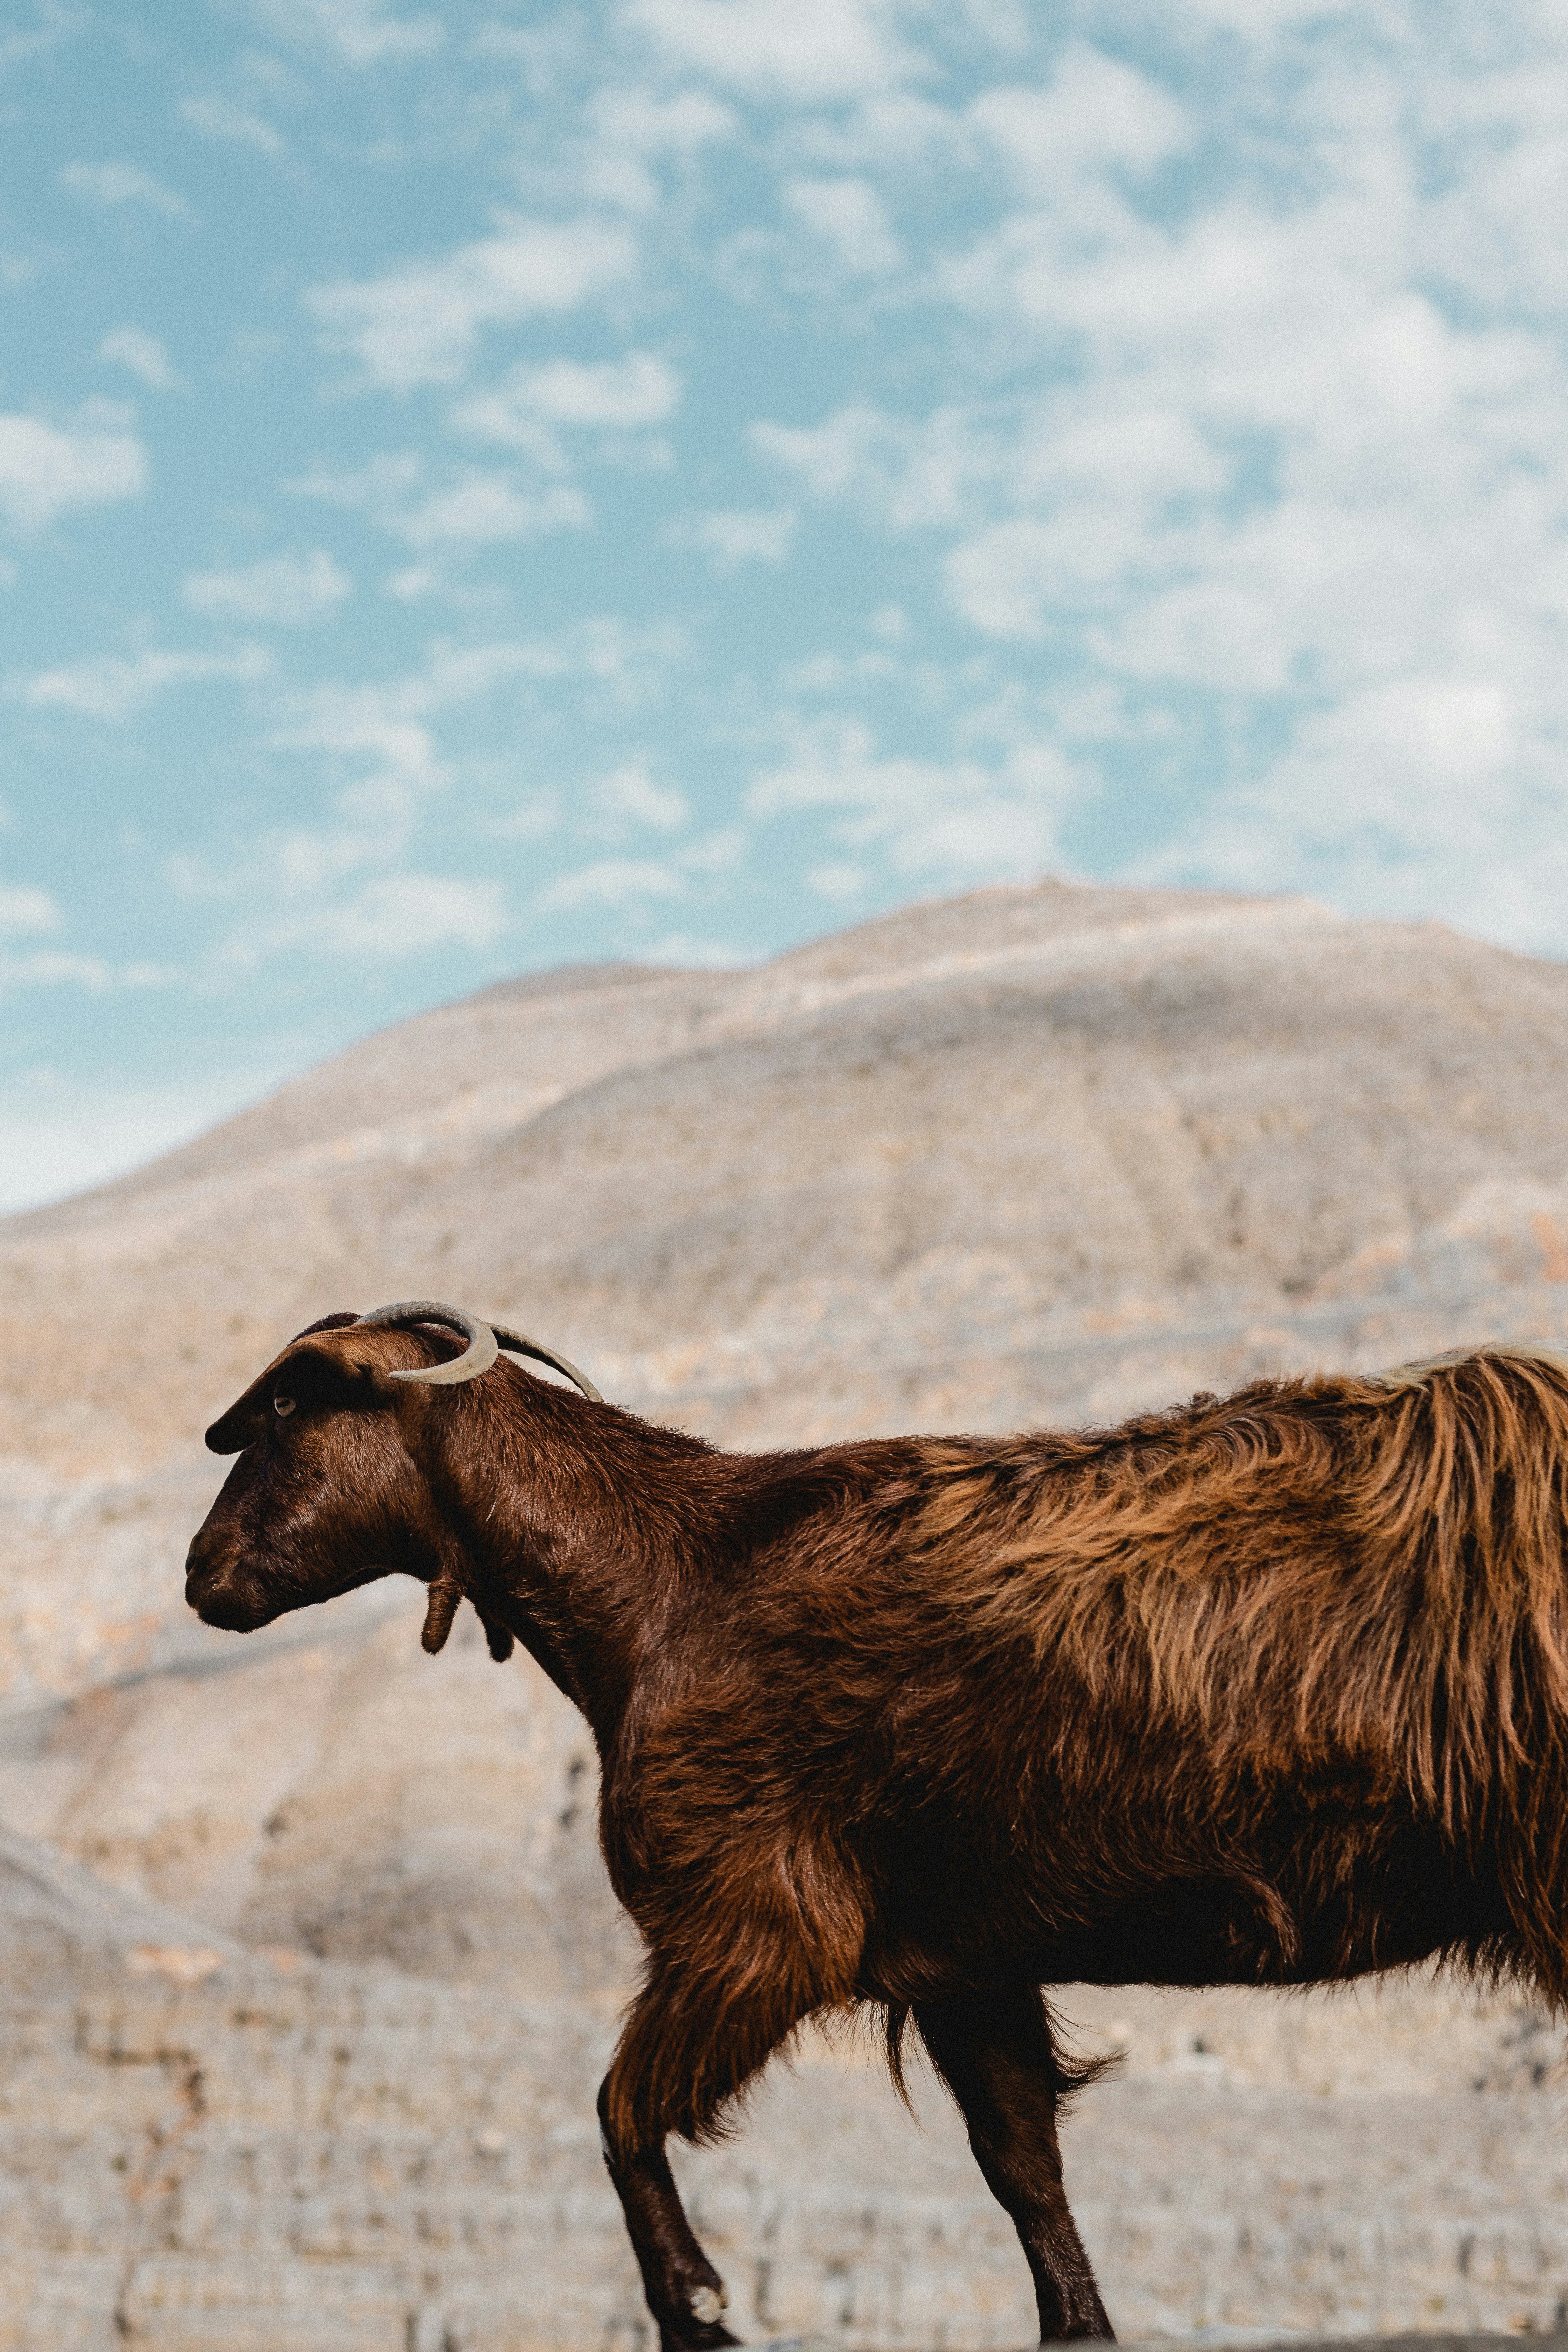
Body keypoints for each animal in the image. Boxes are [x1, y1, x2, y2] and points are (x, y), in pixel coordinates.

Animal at [186, 1301, 1568, 2348]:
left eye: (288, 1409)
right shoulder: (963, 1959)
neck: (663, 1581)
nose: (200, 1574)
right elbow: (1023, 2171)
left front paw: (696, 2308)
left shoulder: (753, 1927)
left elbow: (618, 2107)